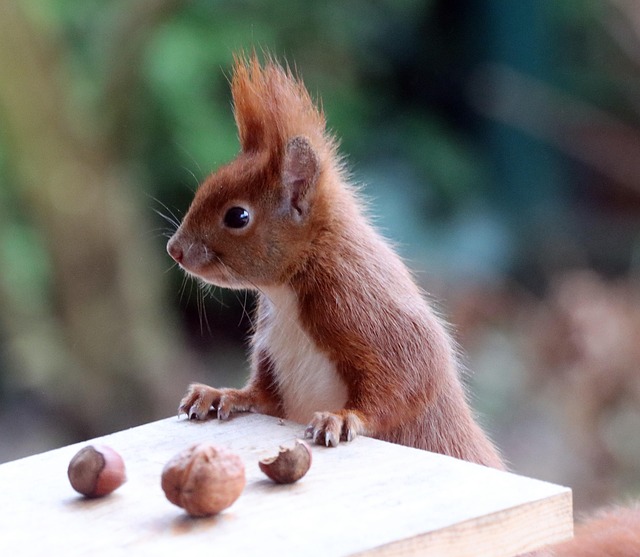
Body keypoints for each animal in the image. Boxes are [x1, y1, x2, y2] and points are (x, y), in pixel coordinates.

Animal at [166, 53, 503, 469]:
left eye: (238, 216)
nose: (175, 249)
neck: (287, 291)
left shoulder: (365, 304)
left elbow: (411, 376)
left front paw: (343, 418)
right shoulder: (272, 346)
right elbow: (264, 397)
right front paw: (222, 394)